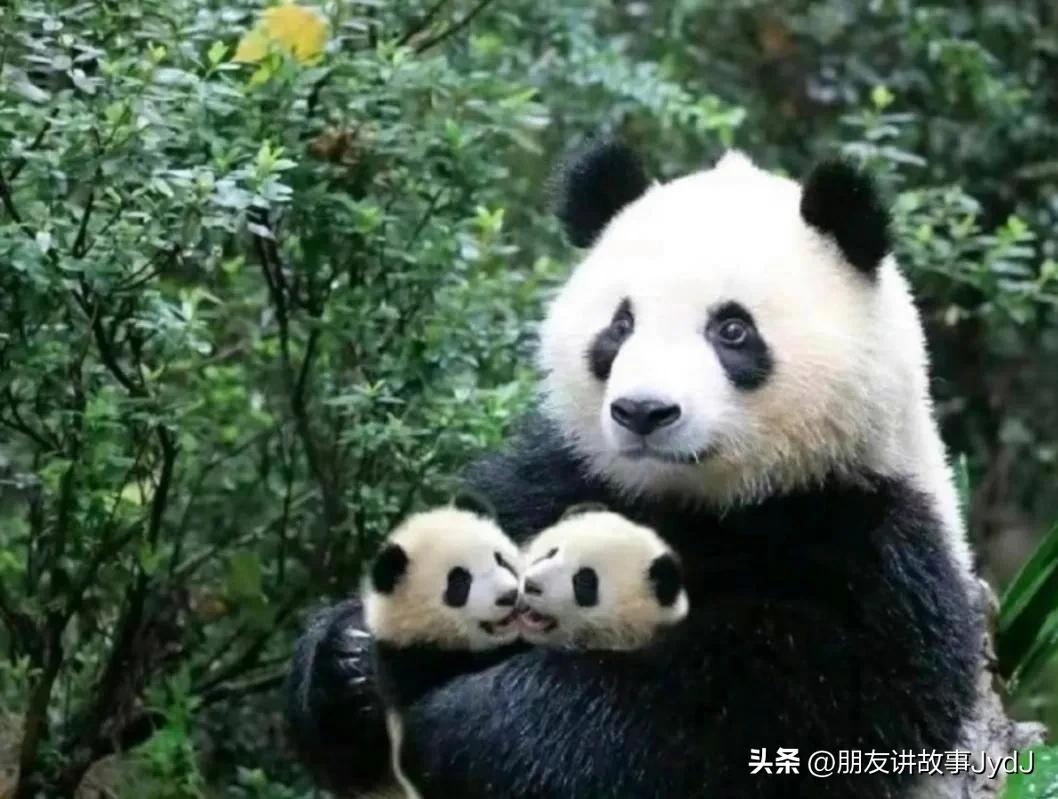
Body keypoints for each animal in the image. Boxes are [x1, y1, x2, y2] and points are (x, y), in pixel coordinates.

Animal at [286, 142, 983, 799]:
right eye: (620, 325)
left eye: (733, 329)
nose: (643, 411)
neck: (695, 499)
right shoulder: (559, 478)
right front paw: (349, 658)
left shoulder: (866, 549)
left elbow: (721, 707)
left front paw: (467, 729)